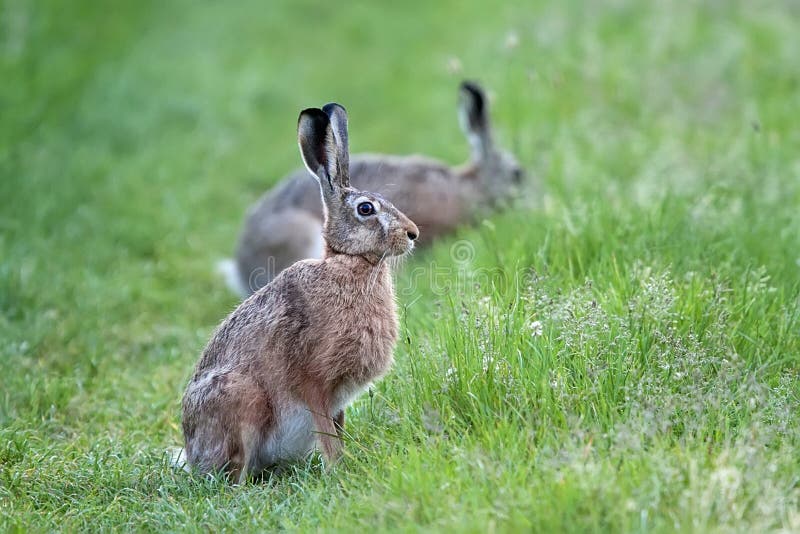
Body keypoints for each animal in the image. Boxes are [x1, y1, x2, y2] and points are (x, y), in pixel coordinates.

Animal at [179, 102, 419, 482]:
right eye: (366, 209)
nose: (413, 234)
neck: (349, 262)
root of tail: (192, 454)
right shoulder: (315, 381)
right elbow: (327, 434)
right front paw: (339, 471)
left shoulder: (339, 400)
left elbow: (338, 428)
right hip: (240, 397)